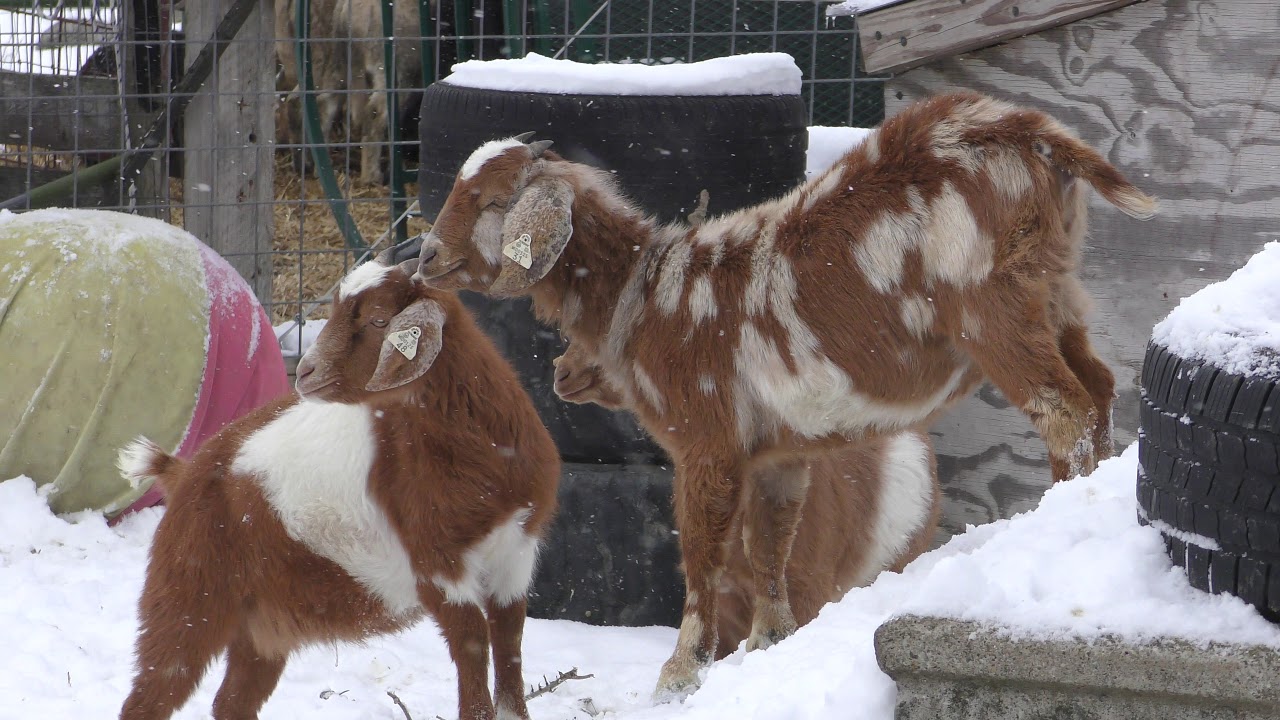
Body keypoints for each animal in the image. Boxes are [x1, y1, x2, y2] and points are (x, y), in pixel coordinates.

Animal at [116, 255, 559, 720]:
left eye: (380, 320)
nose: (305, 372)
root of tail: (184, 470)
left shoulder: (517, 551)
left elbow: (510, 641)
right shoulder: (435, 562)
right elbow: (472, 641)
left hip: (262, 624)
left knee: (232, 700)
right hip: (189, 590)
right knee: (153, 691)